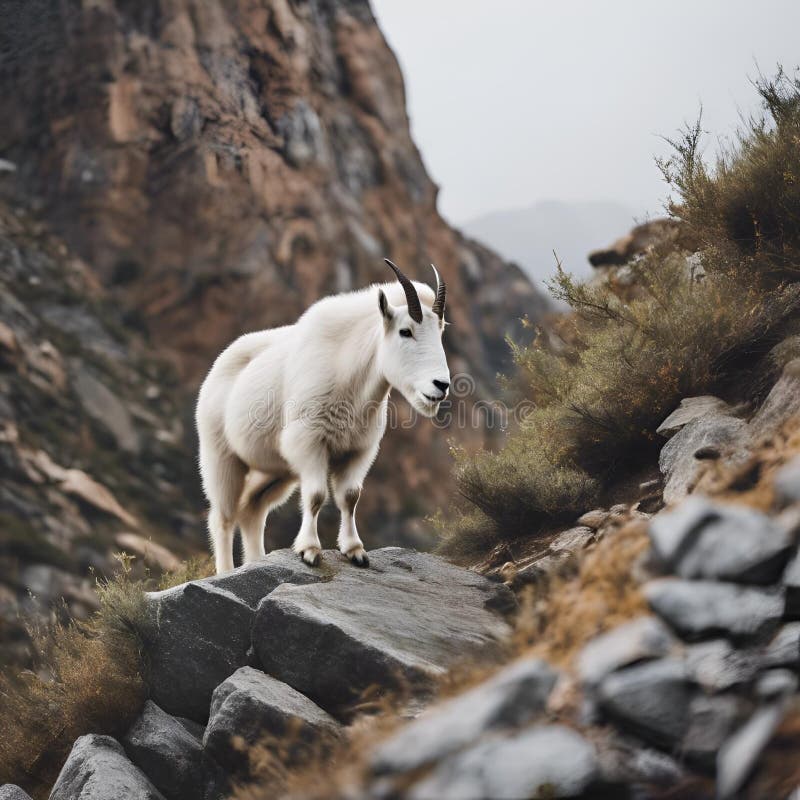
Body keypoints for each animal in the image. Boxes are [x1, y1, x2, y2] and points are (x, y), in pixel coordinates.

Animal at [196, 260, 451, 573]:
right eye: (406, 331)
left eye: (440, 331)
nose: (441, 385)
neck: (350, 375)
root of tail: (217, 368)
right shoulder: (309, 444)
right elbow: (316, 495)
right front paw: (309, 550)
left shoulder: (358, 451)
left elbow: (350, 497)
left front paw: (355, 551)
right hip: (222, 458)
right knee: (223, 517)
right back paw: (227, 570)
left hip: (274, 471)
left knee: (252, 510)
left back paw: (256, 561)